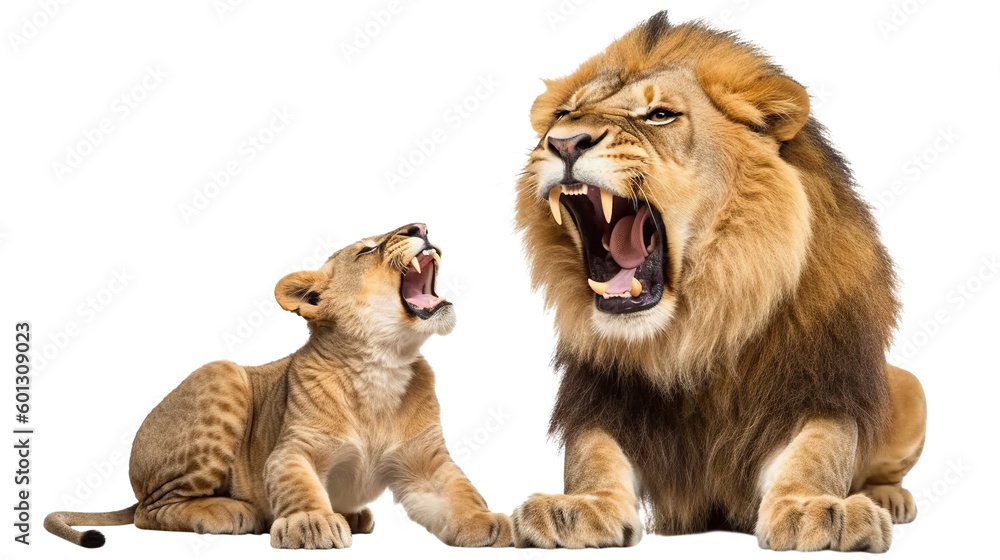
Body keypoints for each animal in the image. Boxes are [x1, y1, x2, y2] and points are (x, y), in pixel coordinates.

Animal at [45, 223, 512, 549]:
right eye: (368, 248)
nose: (421, 227)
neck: (381, 366)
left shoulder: (424, 462)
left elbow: (458, 489)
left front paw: (487, 522)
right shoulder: (293, 448)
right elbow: (298, 484)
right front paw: (312, 522)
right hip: (221, 373)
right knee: (149, 511)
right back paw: (230, 512)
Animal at [511, 12, 926, 553]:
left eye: (659, 115)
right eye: (563, 113)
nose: (563, 142)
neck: (696, 329)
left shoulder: (821, 387)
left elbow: (819, 451)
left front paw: (817, 509)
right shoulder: (600, 403)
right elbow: (591, 456)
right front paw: (578, 507)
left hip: (910, 388)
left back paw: (889, 498)